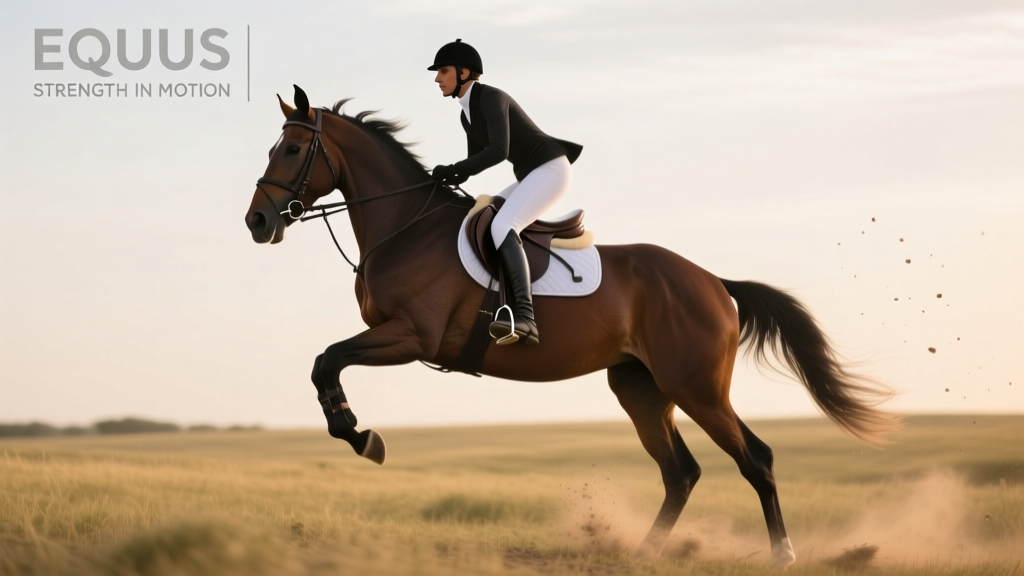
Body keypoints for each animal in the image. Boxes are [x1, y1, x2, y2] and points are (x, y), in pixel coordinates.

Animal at [244, 86, 899, 568]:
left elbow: (327, 358)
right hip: (640, 388)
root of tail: (713, 282)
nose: (257, 222)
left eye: (292, 151)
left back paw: (783, 554)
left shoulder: (412, 335)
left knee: (754, 459)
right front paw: (356, 432)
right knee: (680, 472)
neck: (407, 224)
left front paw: (361, 436)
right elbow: (325, 363)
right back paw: (643, 553)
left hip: (697, 388)